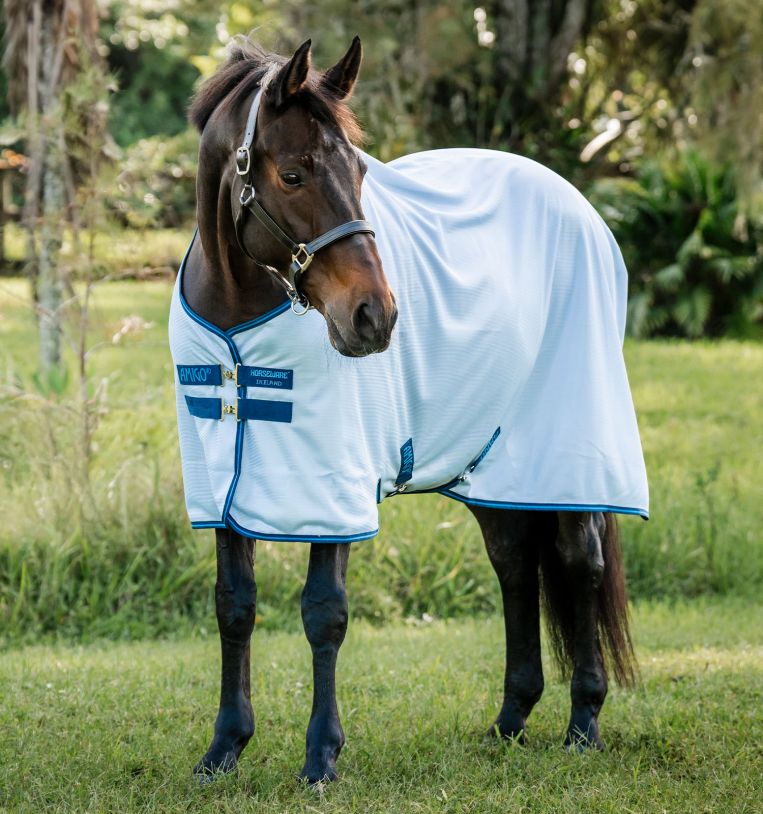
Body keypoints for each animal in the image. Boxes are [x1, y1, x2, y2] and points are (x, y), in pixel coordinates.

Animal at [172, 36, 648, 784]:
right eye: (292, 174)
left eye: (360, 172)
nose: (375, 316)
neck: (236, 322)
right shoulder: (223, 486)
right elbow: (234, 607)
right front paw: (224, 747)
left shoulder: (332, 486)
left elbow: (324, 613)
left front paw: (321, 756)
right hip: (495, 466)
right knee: (515, 562)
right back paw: (509, 721)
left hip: (567, 448)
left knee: (579, 561)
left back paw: (583, 724)